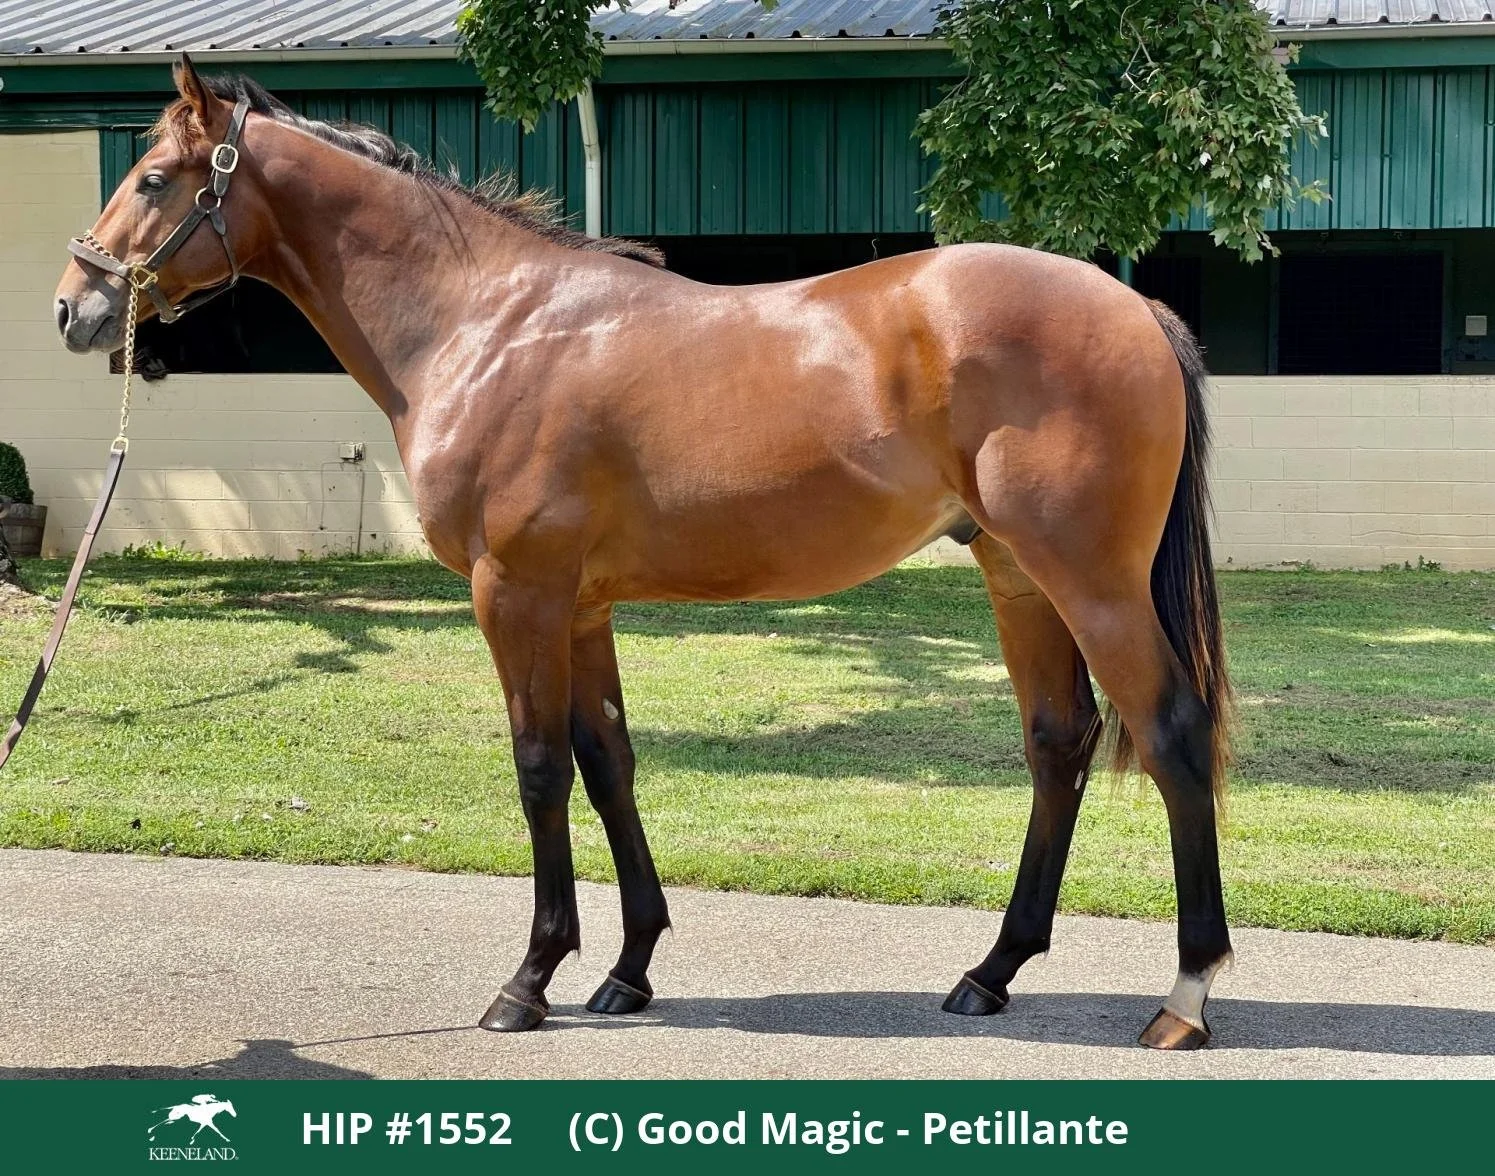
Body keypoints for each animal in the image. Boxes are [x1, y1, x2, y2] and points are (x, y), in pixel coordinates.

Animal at [55, 55, 1234, 1051]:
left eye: (154, 178)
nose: (76, 307)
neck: (483, 324)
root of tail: (1134, 305)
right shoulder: (580, 604)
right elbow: (606, 760)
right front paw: (625, 969)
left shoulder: (516, 593)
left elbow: (538, 767)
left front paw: (528, 981)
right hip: (1016, 574)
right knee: (1058, 742)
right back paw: (990, 972)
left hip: (1090, 581)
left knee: (1170, 733)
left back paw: (1183, 997)